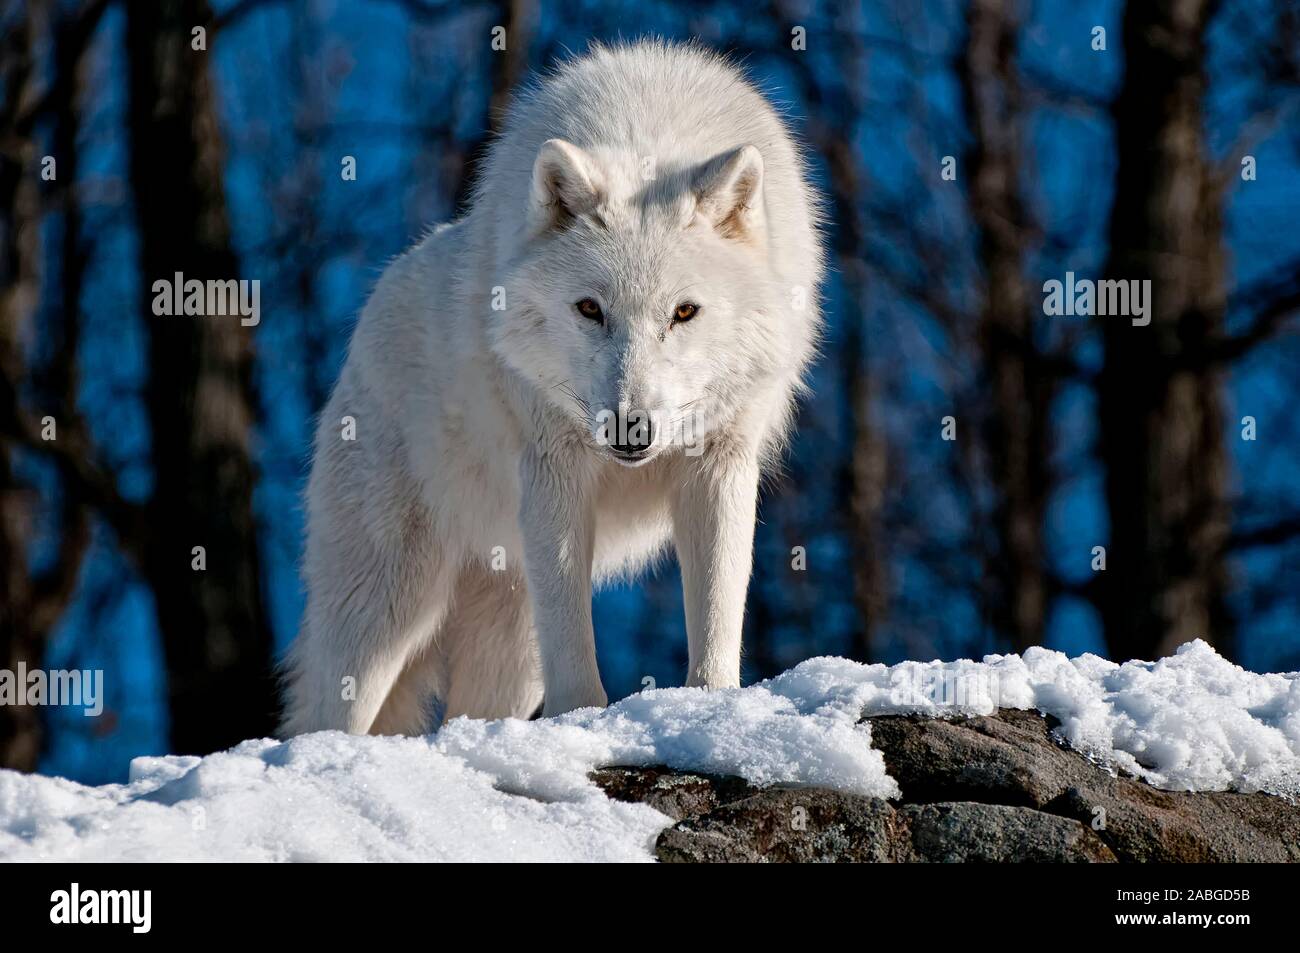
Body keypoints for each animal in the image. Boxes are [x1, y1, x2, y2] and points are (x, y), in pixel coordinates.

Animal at [281, 41, 824, 735]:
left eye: (684, 312)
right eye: (590, 309)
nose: (630, 428)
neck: (648, 126)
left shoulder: (722, 458)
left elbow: (716, 605)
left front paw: (711, 705)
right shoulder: (553, 463)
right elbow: (573, 634)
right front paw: (583, 716)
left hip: (507, 636)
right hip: (386, 605)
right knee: (331, 707)